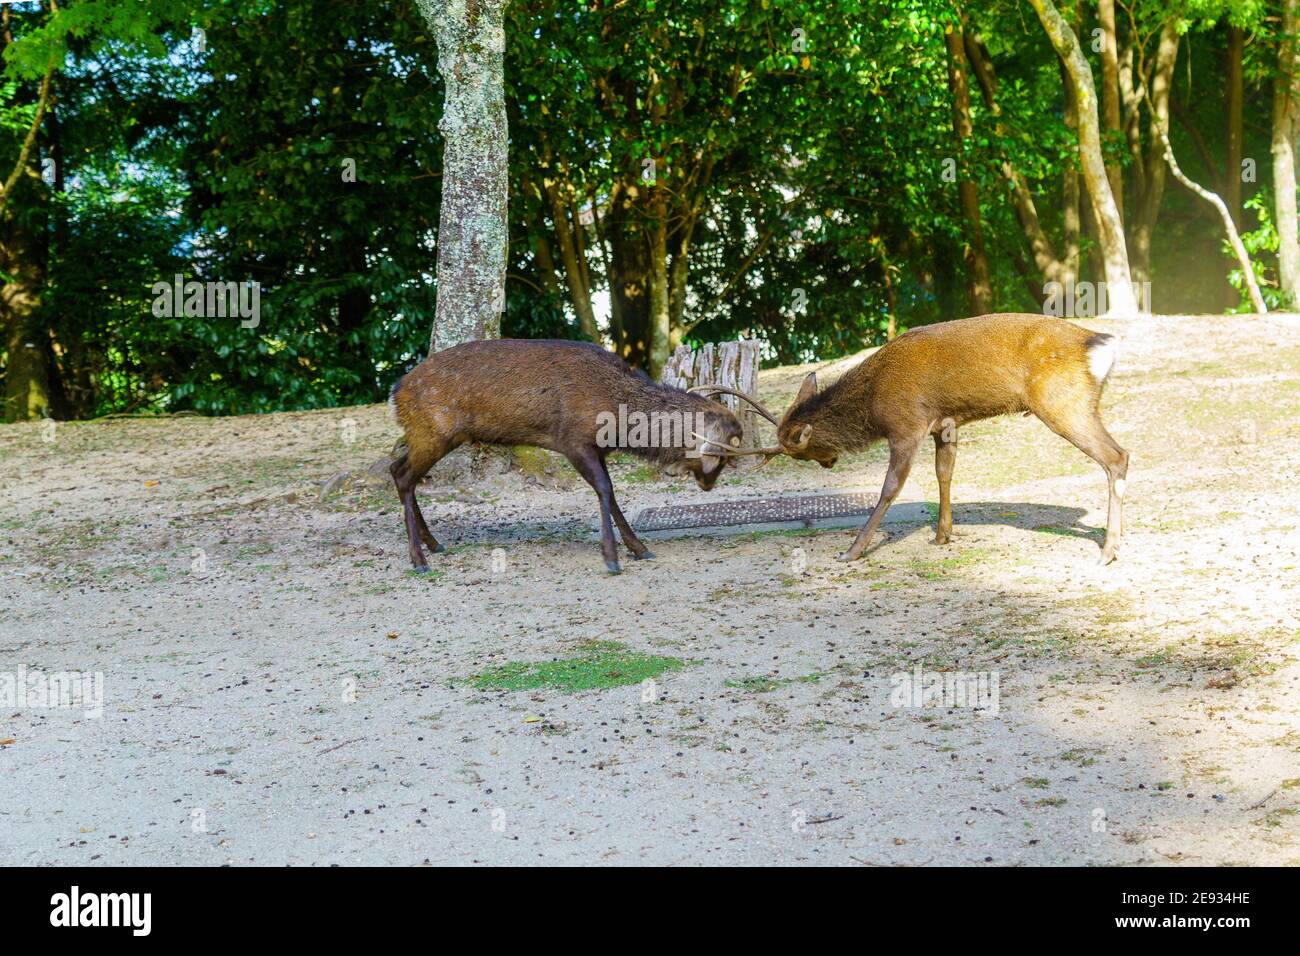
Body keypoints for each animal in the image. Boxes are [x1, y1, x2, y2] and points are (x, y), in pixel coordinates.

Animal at [387, 338, 767, 574]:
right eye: (725, 453)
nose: (708, 484)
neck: (617, 419)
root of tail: (396, 390)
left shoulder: (598, 450)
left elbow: (612, 494)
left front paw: (638, 547)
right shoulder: (572, 441)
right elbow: (604, 490)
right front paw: (612, 558)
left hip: (429, 435)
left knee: (397, 469)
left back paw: (433, 543)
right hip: (433, 432)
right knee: (404, 476)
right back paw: (419, 559)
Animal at [707, 313, 1130, 564]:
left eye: (801, 452)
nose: (829, 463)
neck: (873, 400)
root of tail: (1102, 345)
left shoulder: (906, 425)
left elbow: (890, 488)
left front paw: (852, 550)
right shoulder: (946, 423)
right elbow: (945, 473)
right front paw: (943, 535)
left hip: (1062, 403)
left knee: (1117, 457)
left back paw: (1108, 550)